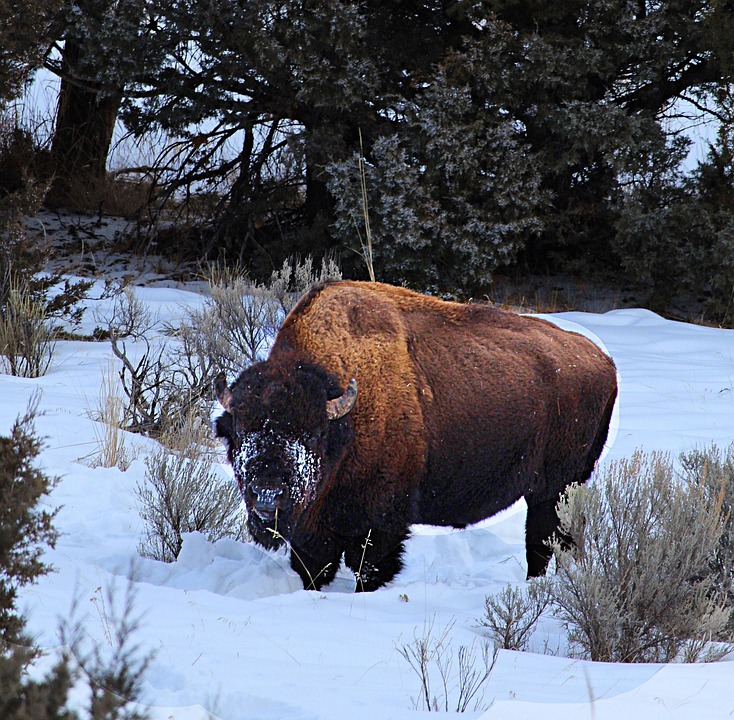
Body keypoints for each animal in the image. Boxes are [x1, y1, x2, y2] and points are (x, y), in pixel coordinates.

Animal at [214, 281, 617, 591]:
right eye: (240, 431)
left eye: (312, 434)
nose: (267, 500)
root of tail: (602, 361)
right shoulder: (314, 530)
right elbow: (312, 567)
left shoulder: (381, 523)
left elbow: (370, 569)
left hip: (558, 488)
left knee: (546, 542)